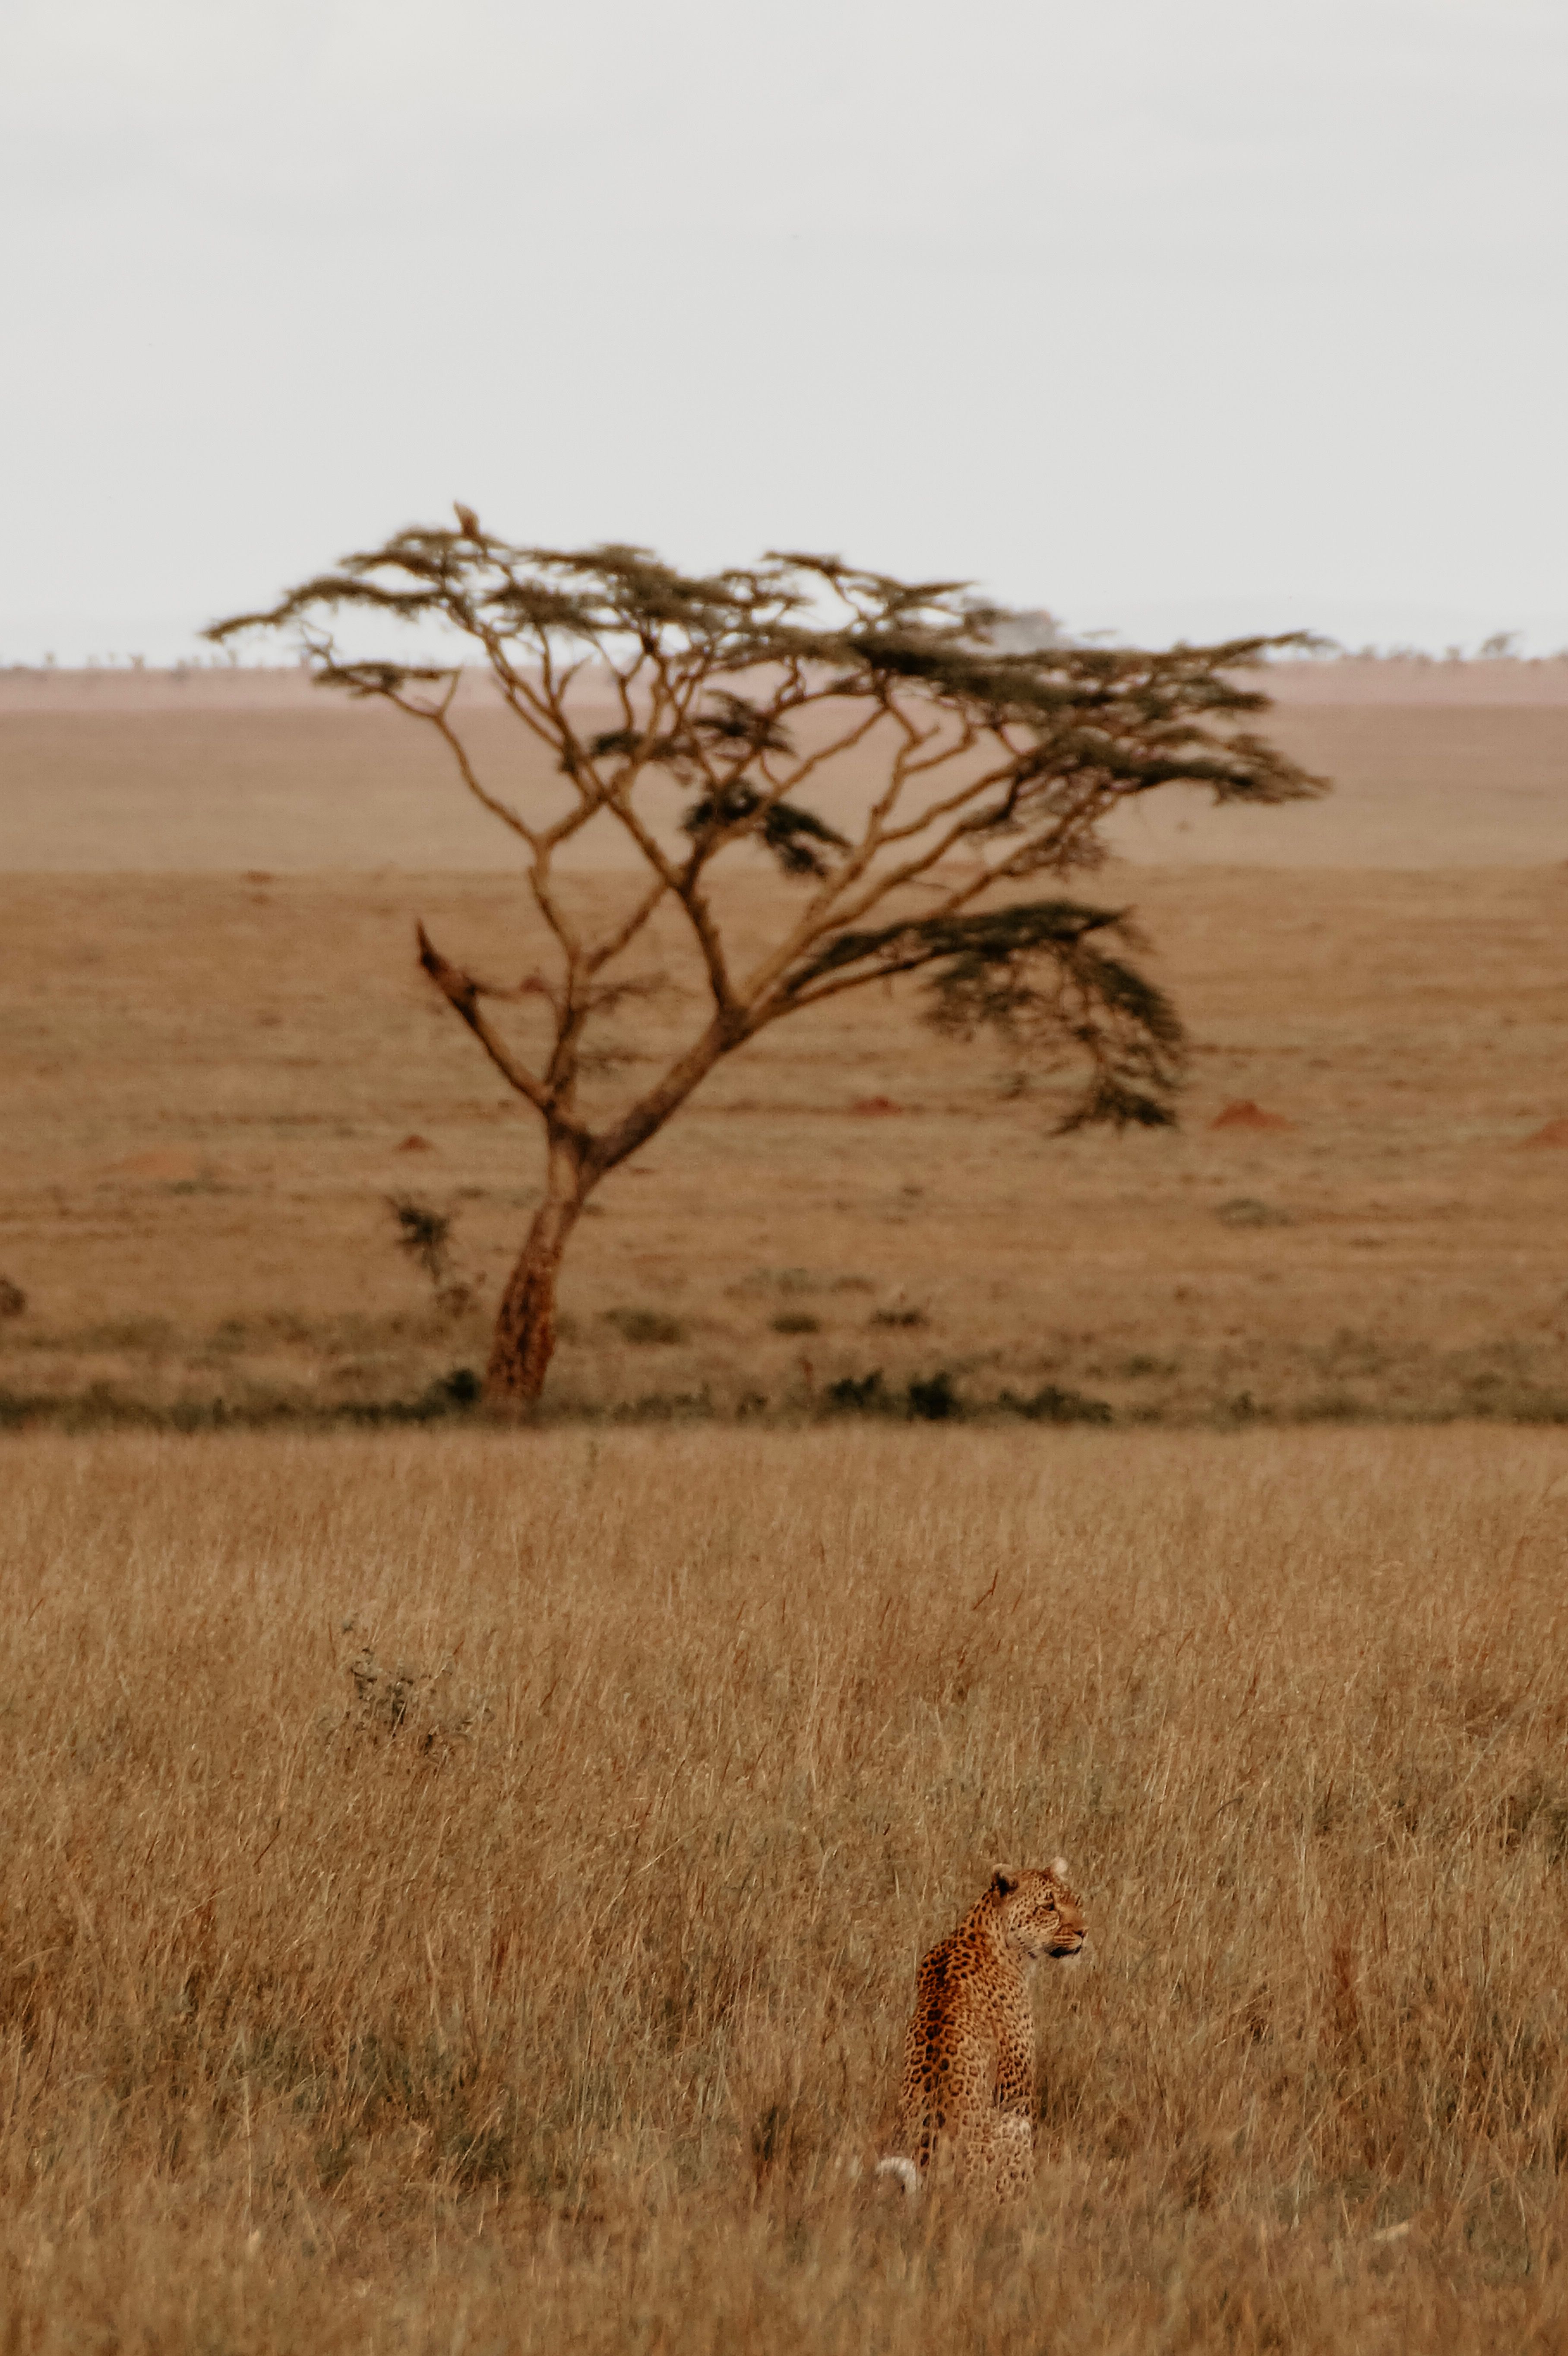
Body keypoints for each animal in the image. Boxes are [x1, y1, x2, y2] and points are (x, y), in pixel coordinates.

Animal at [876, 1857, 1085, 2204]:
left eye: (1076, 1901)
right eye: (1049, 1907)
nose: (1084, 1932)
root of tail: (938, 2187)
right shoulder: (1015, 2087)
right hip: (1012, 2128)